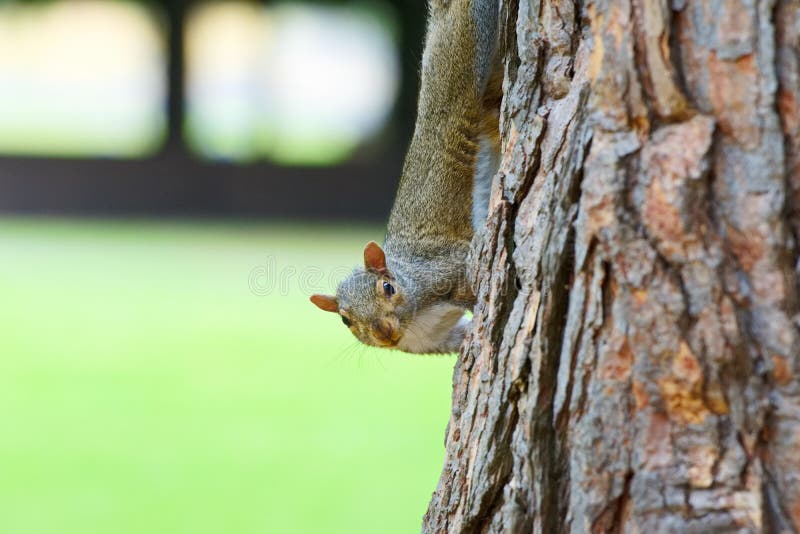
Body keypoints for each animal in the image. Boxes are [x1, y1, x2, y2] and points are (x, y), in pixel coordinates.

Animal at [310, 0, 502, 354]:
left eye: (388, 287)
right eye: (345, 320)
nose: (384, 332)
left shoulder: (444, 268)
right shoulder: (431, 341)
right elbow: (459, 338)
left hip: (474, 41)